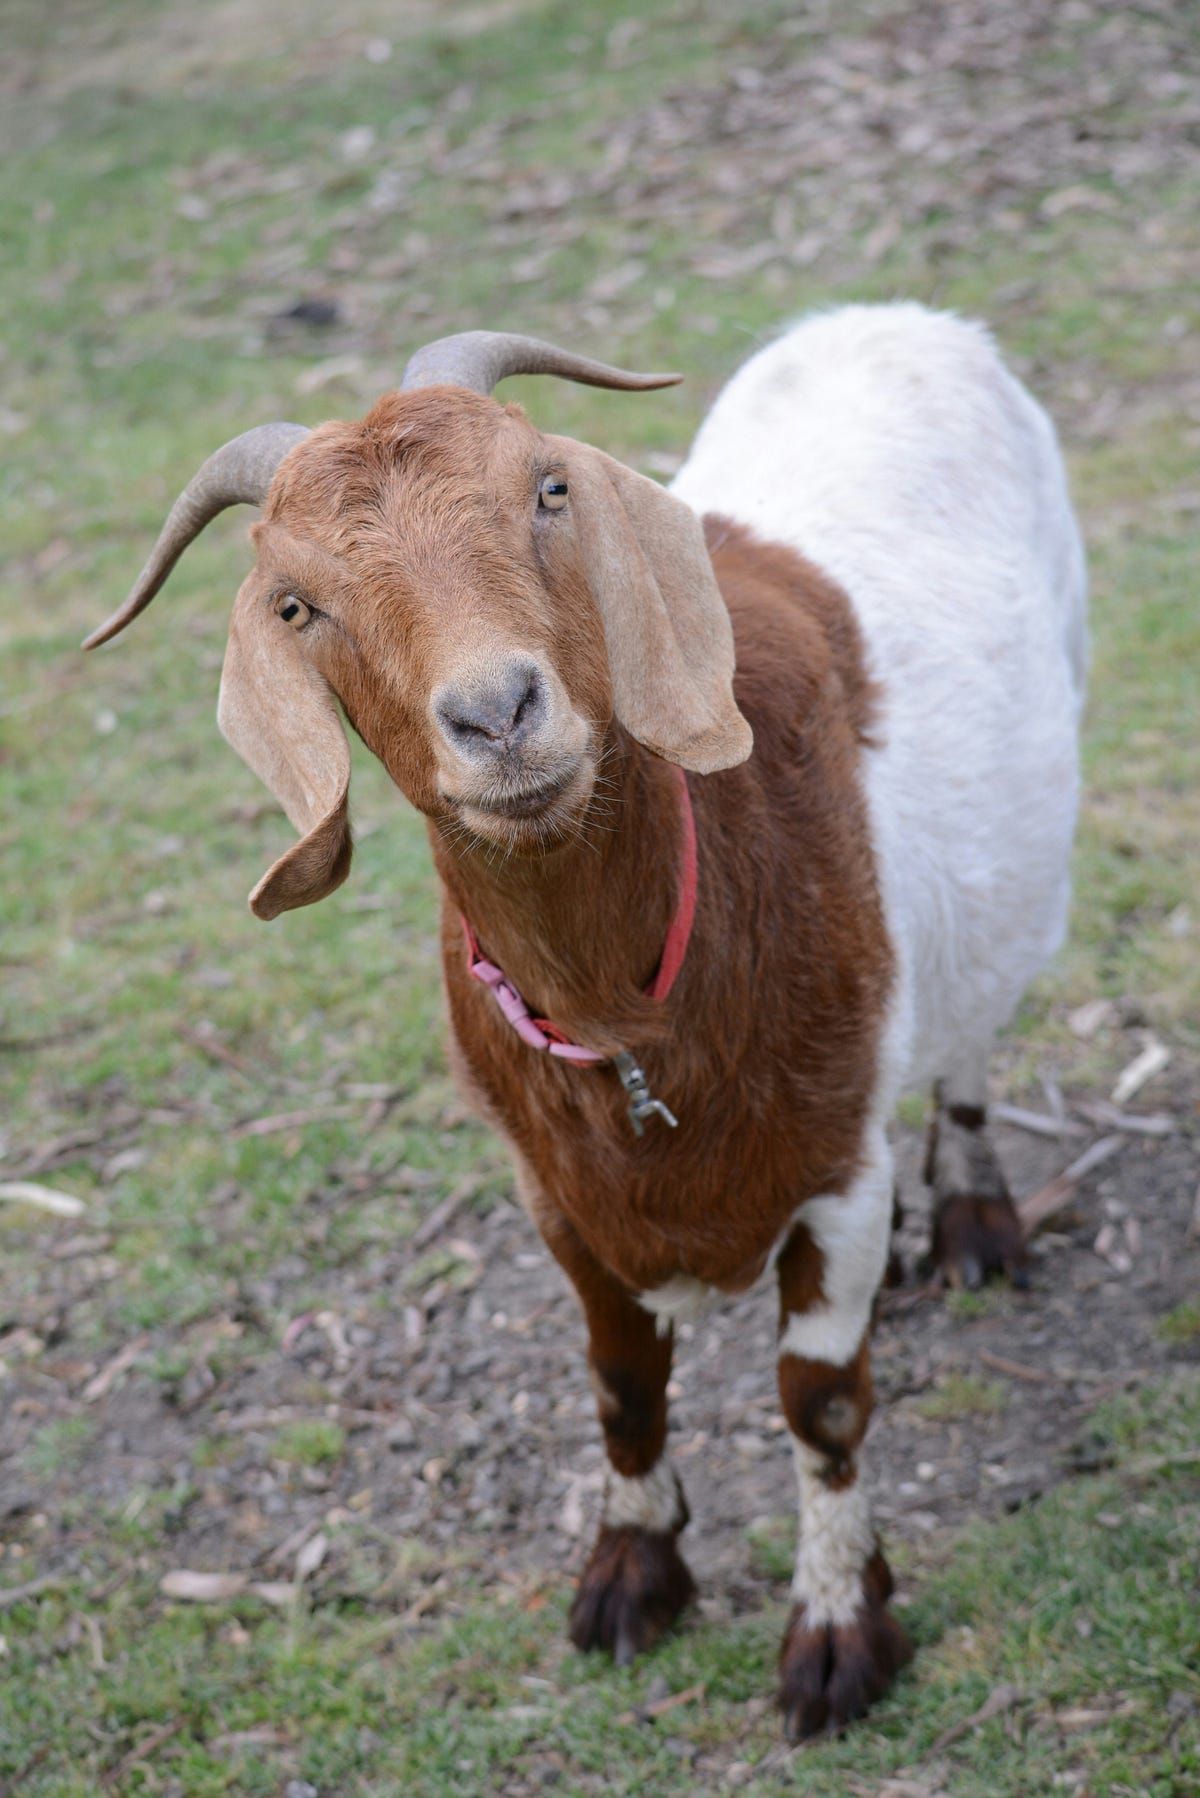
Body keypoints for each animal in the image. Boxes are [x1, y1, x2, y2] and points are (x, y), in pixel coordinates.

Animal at [86, 304, 1086, 1737]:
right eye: (297, 603)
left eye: (548, 489)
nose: (497, 714)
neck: (635, 1010)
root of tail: (902, 319)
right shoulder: (555, 1189)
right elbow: (621, 1380)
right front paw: (631, 1572)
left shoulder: (835, 1168)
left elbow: (822, 1404)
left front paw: (838, 1632)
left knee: (972, 1028)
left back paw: (975, 1215)